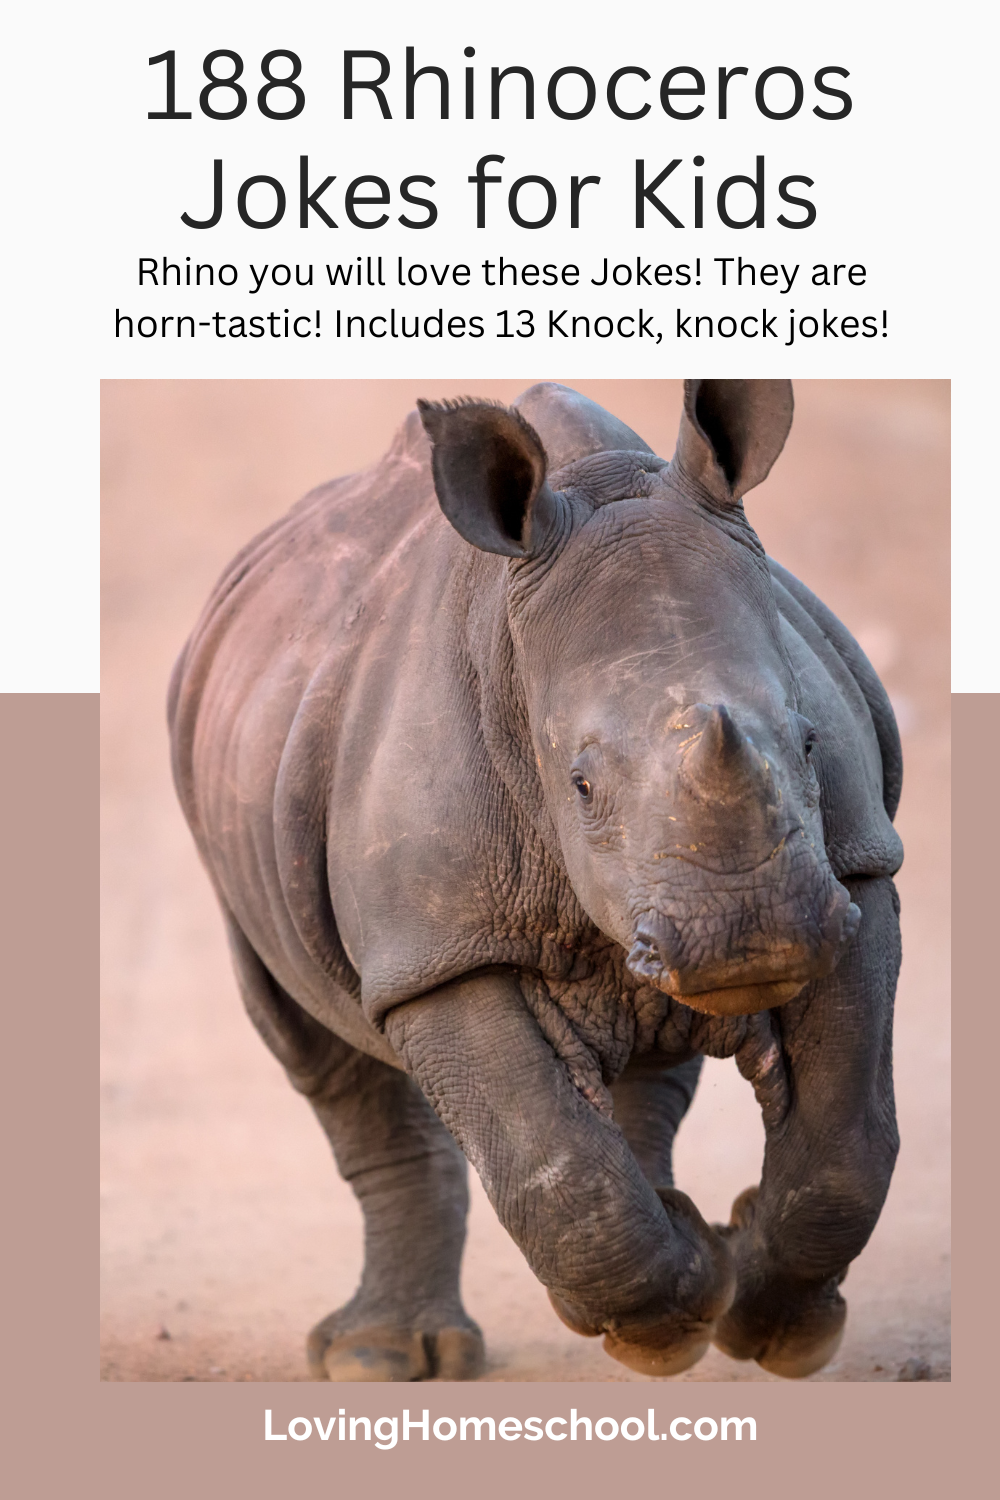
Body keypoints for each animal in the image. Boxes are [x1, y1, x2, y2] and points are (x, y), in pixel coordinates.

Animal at [169, 380, 902, 1382]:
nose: (748, 937)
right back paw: (381, 1359)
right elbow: (553, 1165)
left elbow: (846, 1139)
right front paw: (665, 1328)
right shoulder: (439, 948)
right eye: (580, 785)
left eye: (811, 741)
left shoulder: (856, 871)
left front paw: (768, 1328)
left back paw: (682, 1241)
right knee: (319, 1052)